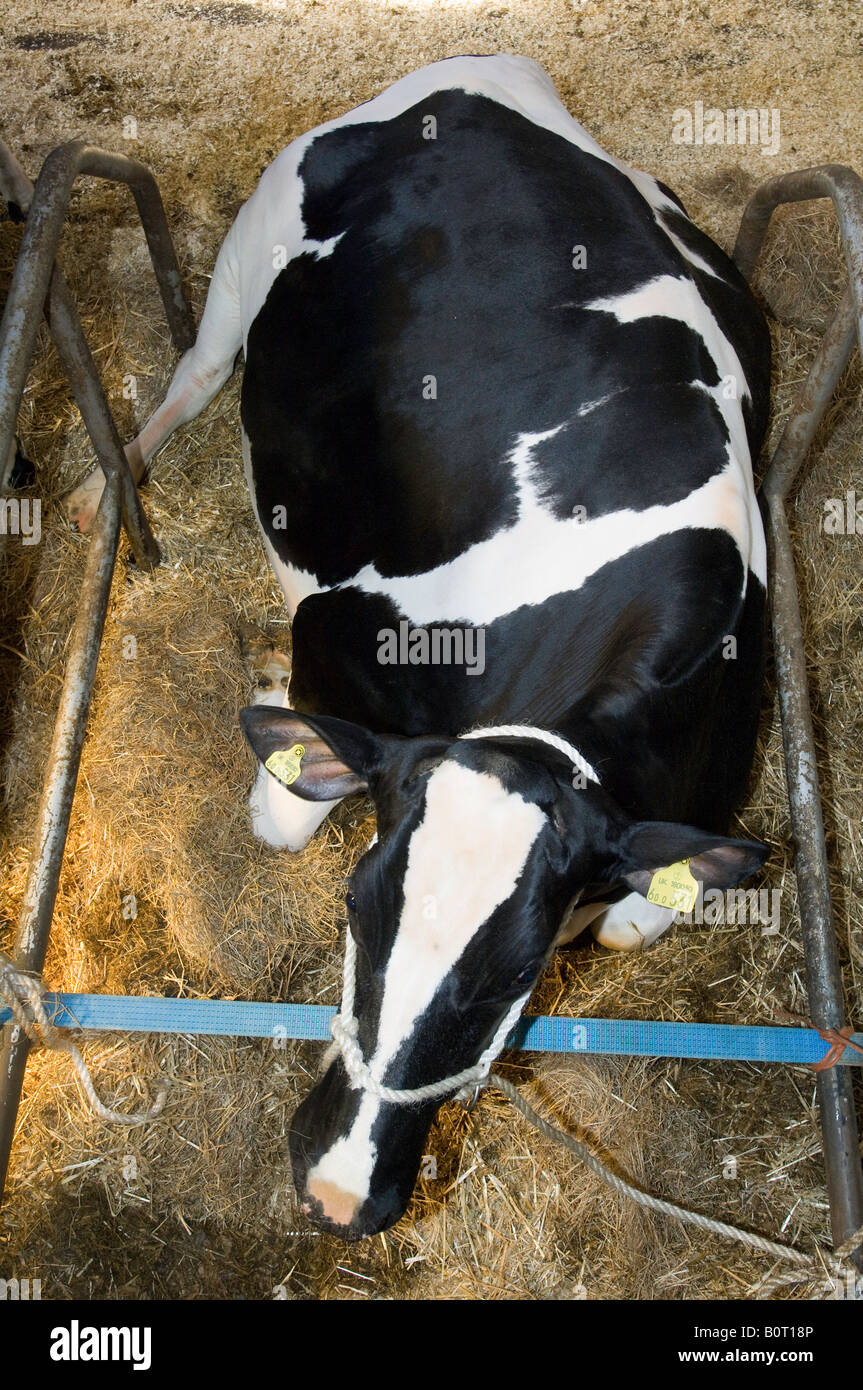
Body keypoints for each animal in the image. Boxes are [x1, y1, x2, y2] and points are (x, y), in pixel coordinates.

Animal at [65, 54, 771, 1240]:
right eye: (359, 906)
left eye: (515, 977)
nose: (336, 1190)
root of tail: (483, 73)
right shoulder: (335, 655)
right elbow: (281, 815)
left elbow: (632, 927)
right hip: (251, 253)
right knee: (196, 372)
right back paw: (92, 492)